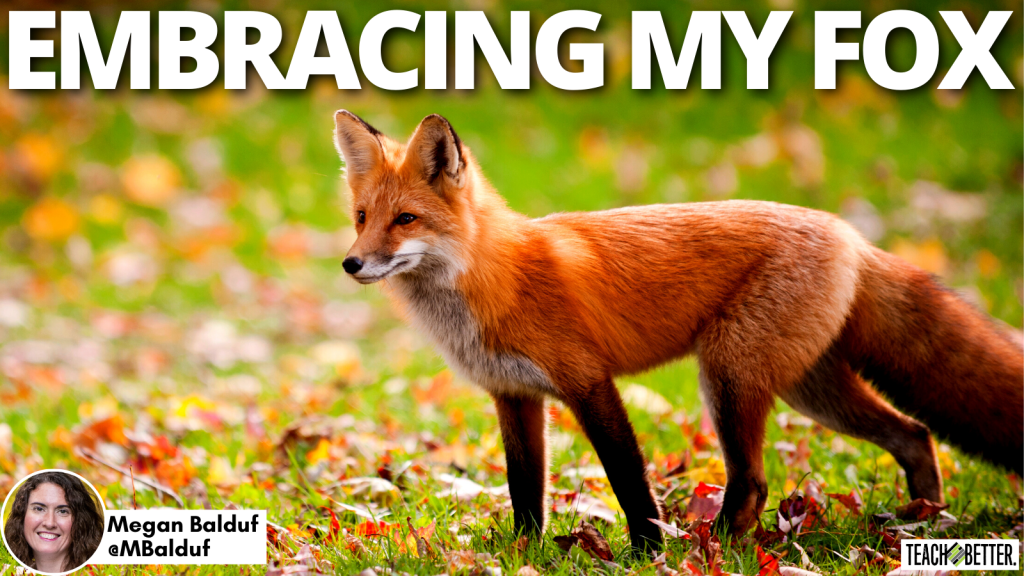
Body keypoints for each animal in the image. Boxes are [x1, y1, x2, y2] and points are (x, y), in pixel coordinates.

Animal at [333, 110, 1024, 554]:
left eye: (406, 219)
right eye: (363, 217)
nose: (351, 264)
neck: (492, 277)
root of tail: (849, 233)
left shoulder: (588, 382)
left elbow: (627, 477)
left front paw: (646, 551)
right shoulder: (514, 395)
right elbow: (524, 488)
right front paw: (524, 554)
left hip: (728, 377)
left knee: (755, 482)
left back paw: (713, 549)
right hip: (810, 390)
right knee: (914, 433)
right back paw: (922, 520)